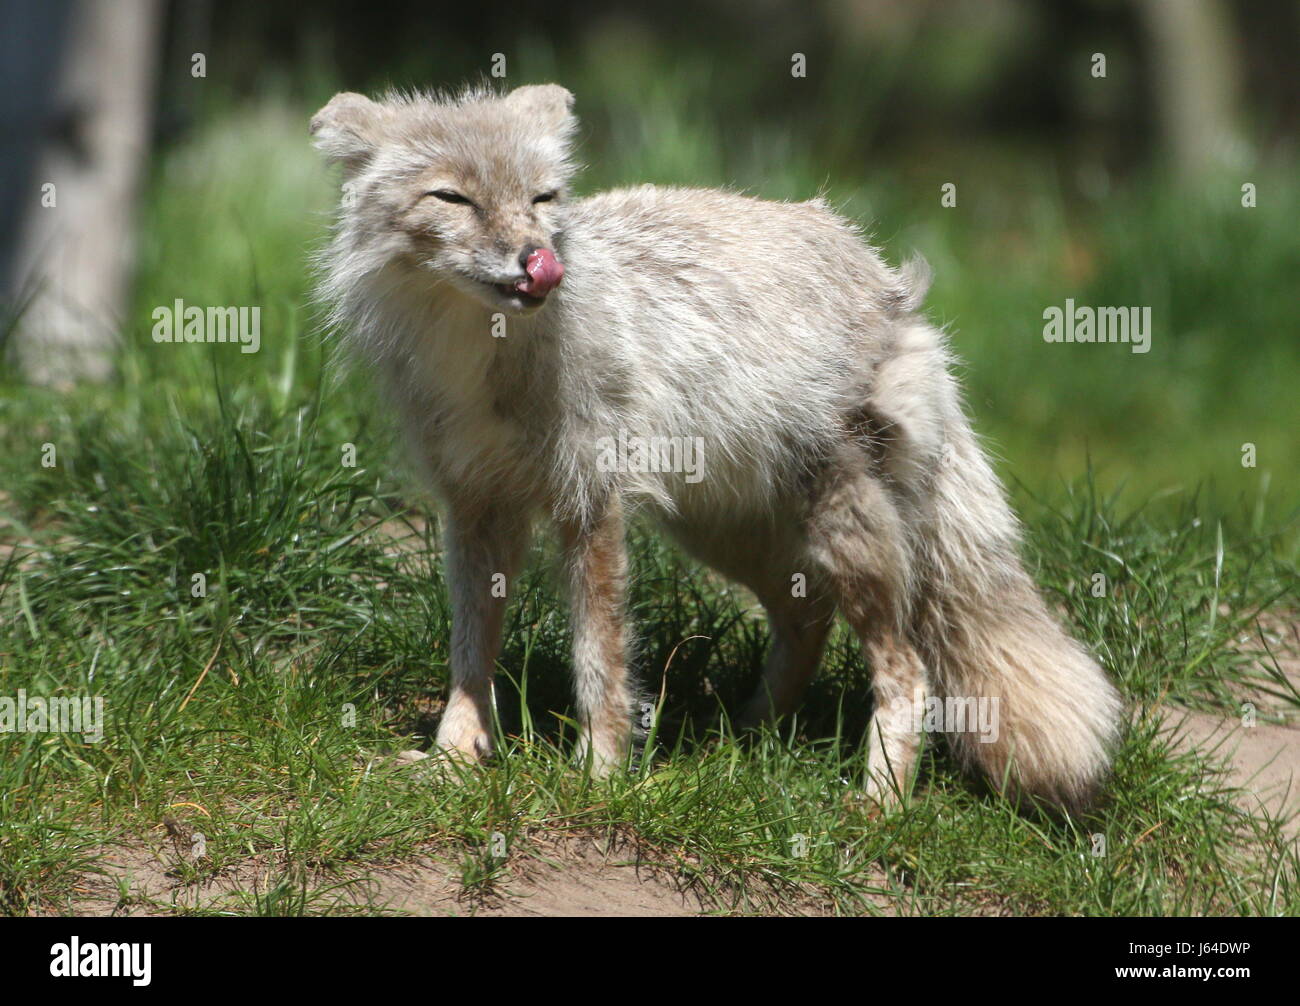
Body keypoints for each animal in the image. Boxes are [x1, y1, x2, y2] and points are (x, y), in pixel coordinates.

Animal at [310, 83, 1124, 811]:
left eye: (542, 199)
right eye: (453, 199)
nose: (538, 260)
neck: (479, 356)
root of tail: (888, 280)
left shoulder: (590, 504)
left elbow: (599, 661)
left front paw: (599, 779)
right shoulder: (475, 506)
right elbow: (470, 649)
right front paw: (454, 757)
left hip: (841, 535)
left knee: (908, 671)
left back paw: (878, 807)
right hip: (727, 534)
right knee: (807, 622)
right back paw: (746, 743)